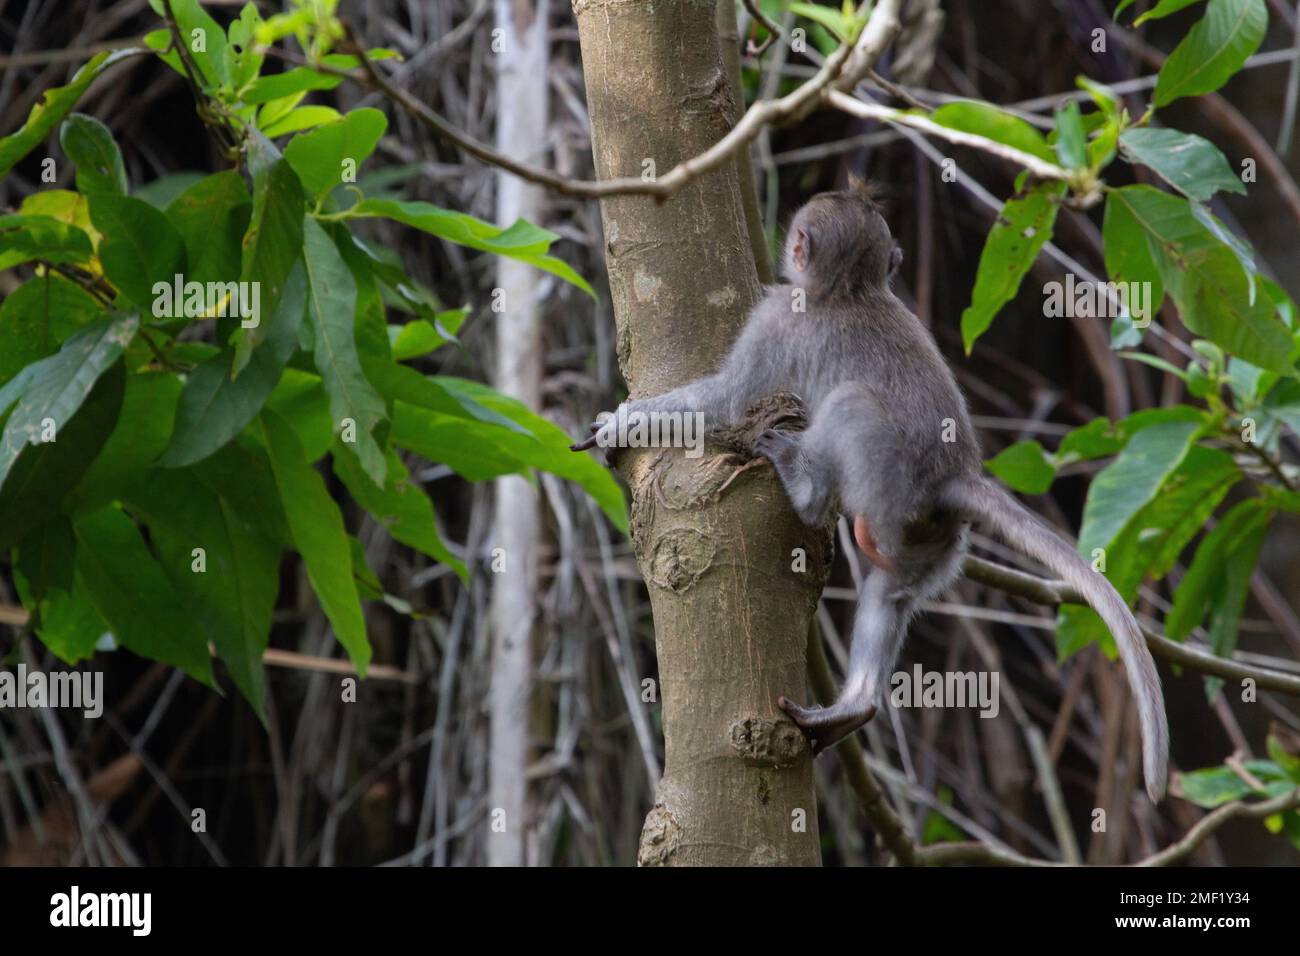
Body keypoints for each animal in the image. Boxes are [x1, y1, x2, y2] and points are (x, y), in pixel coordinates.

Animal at [572, 188, 1169, 801]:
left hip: (889, 490)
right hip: (934, 542)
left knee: (850, 405)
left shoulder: (778, 316)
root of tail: (956, 475)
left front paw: (624, 423)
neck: (850, 288)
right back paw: (855, 707)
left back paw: (807, 493)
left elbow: (724, 399)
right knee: (892, 592)